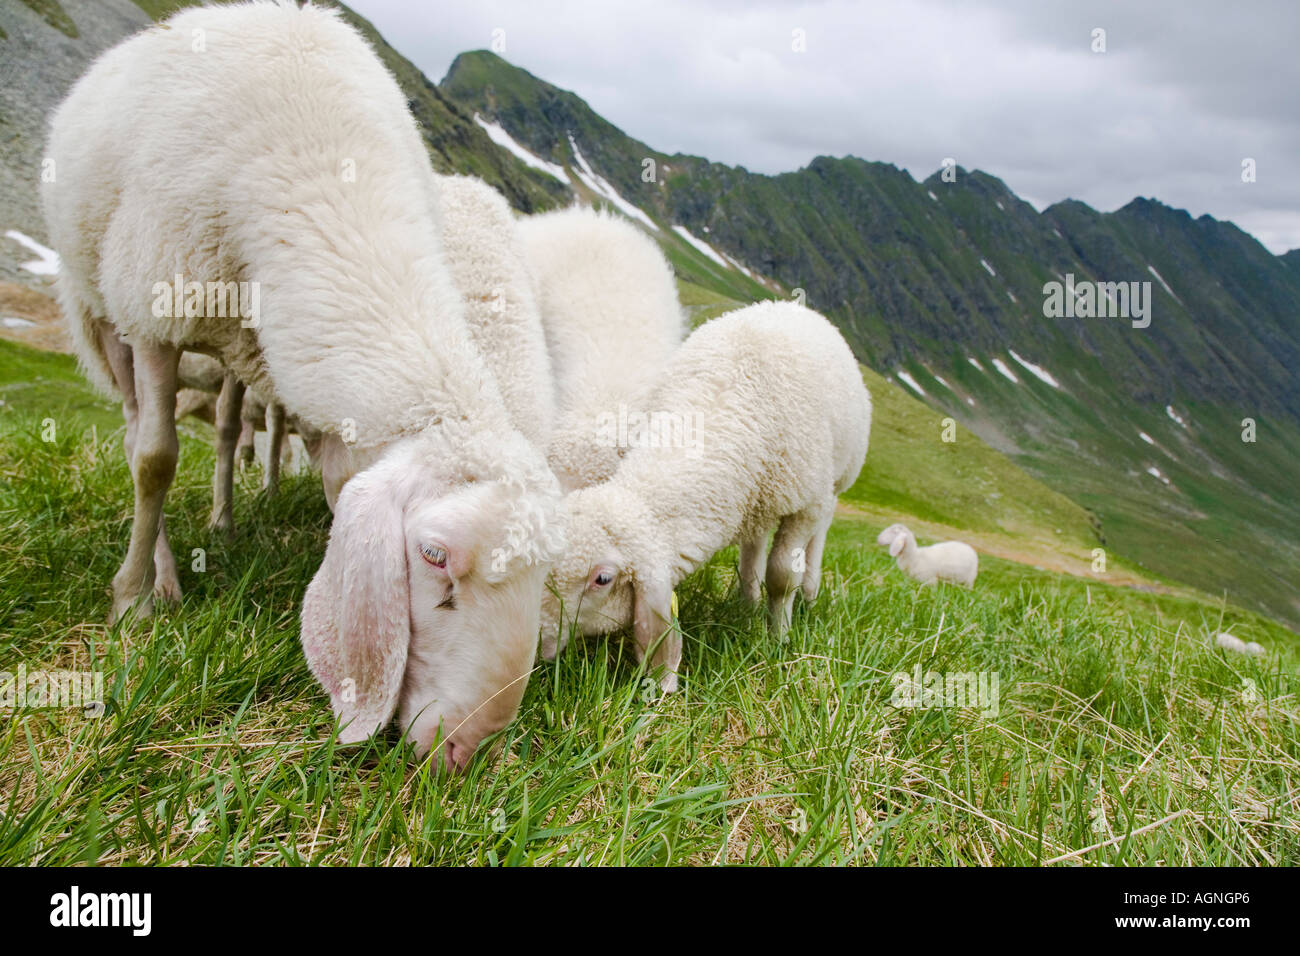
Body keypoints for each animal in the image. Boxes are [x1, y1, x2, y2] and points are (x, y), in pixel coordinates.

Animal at [42, 0, 562, 766]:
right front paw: (131, 601)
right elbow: (156, 459)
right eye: (434, 557)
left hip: (240, 349)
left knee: (229, 429)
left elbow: (327, 475)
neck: (323, 178)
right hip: (103, 310)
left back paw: (226, 519)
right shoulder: (156, 307)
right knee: (141, 435)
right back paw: (161, 570)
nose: (470, 750)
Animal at [539, 300, 872, 691]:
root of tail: (790, 304)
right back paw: (747, 601)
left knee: (820, 532)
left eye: (602, 579)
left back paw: (809, 592)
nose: (534, 644)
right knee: (753, 543)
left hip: (835, 480)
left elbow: (782, 577)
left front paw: (779, 638)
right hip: (760, 500)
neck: (724, 405)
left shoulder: (807, 503)